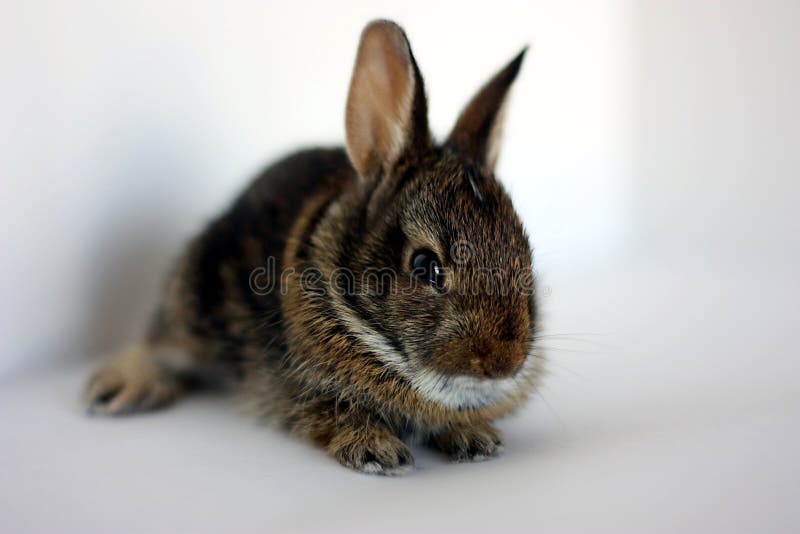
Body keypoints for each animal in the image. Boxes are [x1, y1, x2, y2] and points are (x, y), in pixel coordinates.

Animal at [85, 19, 543, 475]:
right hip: (194, 303)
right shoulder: (304, 391)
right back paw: (120, 389)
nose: (504, 362)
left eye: (525, 256)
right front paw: (379, 451)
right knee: (158, 343)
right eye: (425, 265)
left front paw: (475, 438)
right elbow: (338, 413)